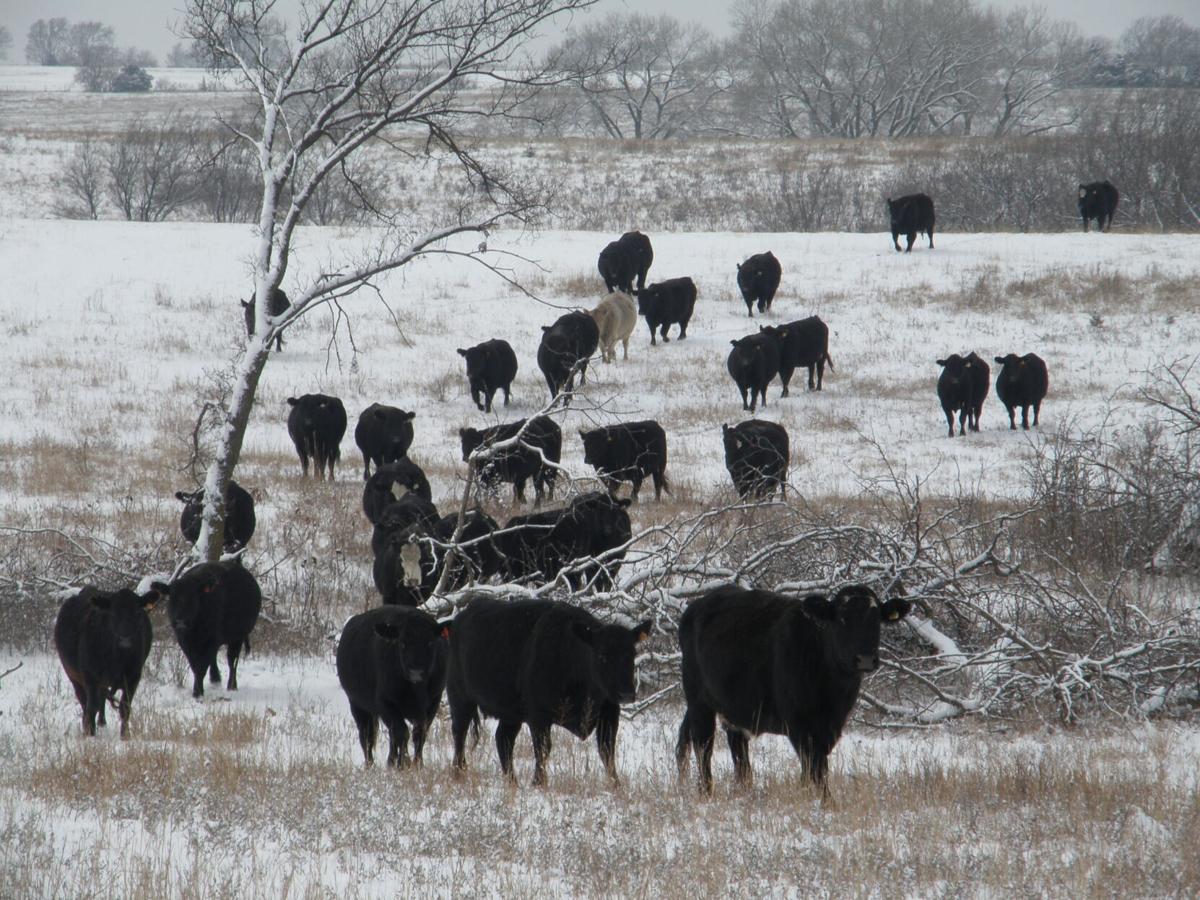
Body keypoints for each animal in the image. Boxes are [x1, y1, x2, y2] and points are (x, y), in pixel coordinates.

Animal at [53, 585, 159, 737]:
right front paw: (90, 734)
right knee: (85, 702)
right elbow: (91, 707)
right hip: (74, 676)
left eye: (138, 613)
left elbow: (125, 707)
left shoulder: (134, 677)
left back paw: (102, 723)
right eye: (113, 614)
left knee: (101, 698)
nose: (125, 641)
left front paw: (125, 735)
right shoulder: (91, 676)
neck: (117, 658)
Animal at [152, 560, 262, 699]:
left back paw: (232, 686)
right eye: (172, 599)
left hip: (238, 636)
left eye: (192, 598)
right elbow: (195, 665)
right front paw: (198, 690)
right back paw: (215, 679)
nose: (180, 622)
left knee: (232, 660)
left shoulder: (212, 639)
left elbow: (202, 666)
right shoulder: (184, 641)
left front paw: (197, 693)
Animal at [335, 606, 449, 767]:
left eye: (430, 643)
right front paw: (404, 763)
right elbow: (402, 732)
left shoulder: (433, 701)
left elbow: (420, 732)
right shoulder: (386, 703)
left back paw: (391, 761)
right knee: (367, 736)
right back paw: (371, 764)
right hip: (358, 706)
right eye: (402, 643)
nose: (416, 673)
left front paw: (418, 764)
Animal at [446, 596, 652, 785]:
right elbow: (543, 749)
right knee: (459, 733)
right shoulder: (538, 716)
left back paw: (512, 782)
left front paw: (616, 784)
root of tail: (460, 617)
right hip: (460, 698)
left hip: (511, 712)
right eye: (602, 654)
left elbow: (607, 750)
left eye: (632, 654)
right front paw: (539, 783)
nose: (626, 694)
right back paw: (458, 771)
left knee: (503, 739)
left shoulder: (609, 712)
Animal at [676, 583, 913, 797]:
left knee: (738, 754)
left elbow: (813, 770)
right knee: (703, 747)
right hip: (699, 702)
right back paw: (706, 793)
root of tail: (697, 604)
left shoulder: (830, 727)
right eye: (842, 619)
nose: (865, 659)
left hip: (733, 708)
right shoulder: (799, 724)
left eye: (876, 620)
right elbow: (816, 769)